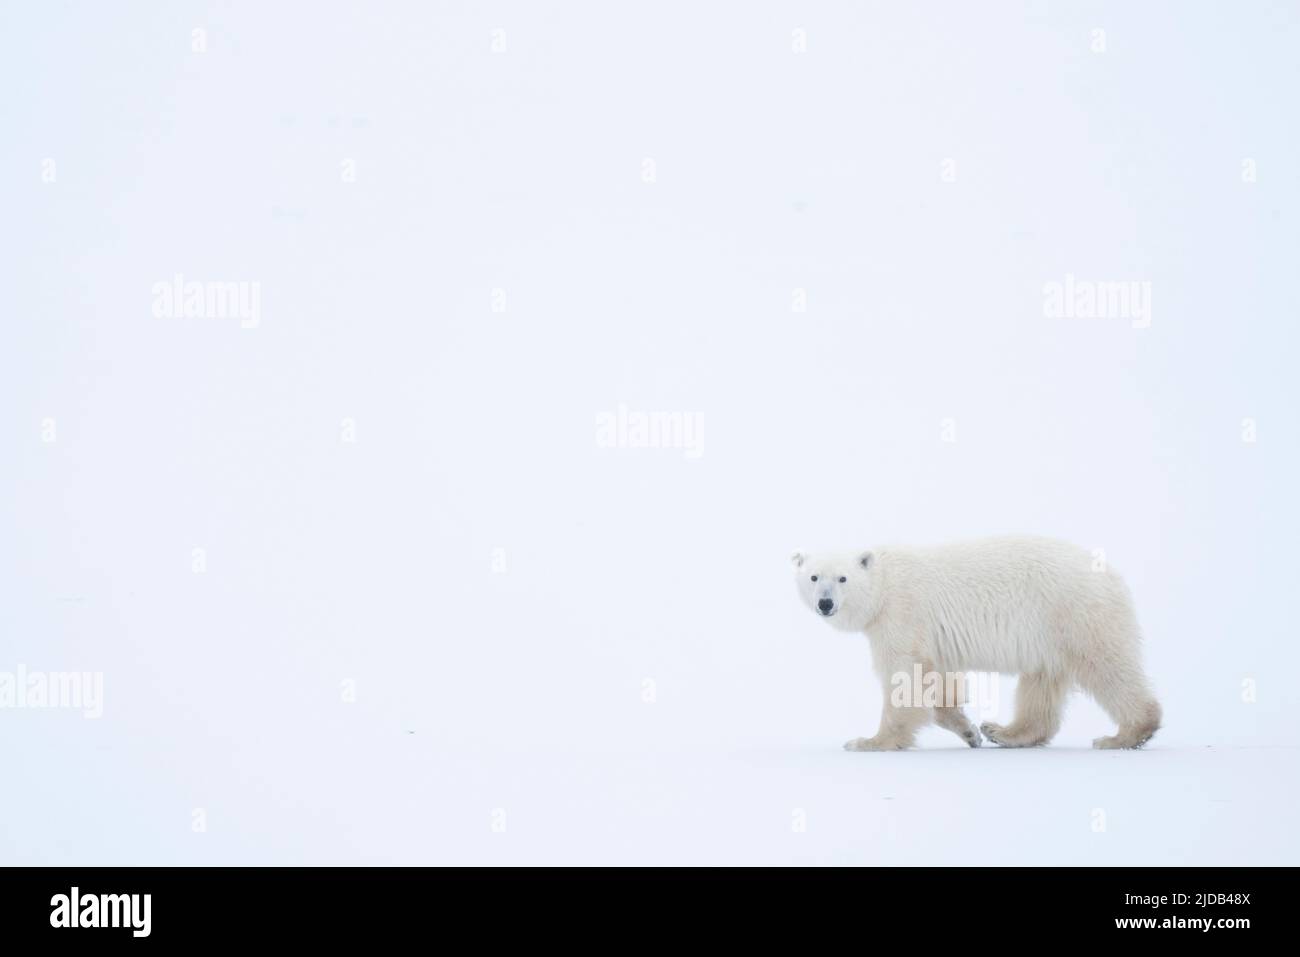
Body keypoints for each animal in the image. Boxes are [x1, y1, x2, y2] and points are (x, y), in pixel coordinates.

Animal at [791, 537, 1161, 751]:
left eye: (842, 578)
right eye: (813, 577)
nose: (825, 603)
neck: (885, 583)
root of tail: (1111, 575)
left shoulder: (902, 613)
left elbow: (904, 676)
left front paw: (869, 741)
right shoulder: (932, 635)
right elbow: (938, 681)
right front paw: (970, 731)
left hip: (1074, 613)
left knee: (1107, 666)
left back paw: (1124, 735)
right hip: (1050, 634)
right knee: (1041, 683)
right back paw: (1004, 731)